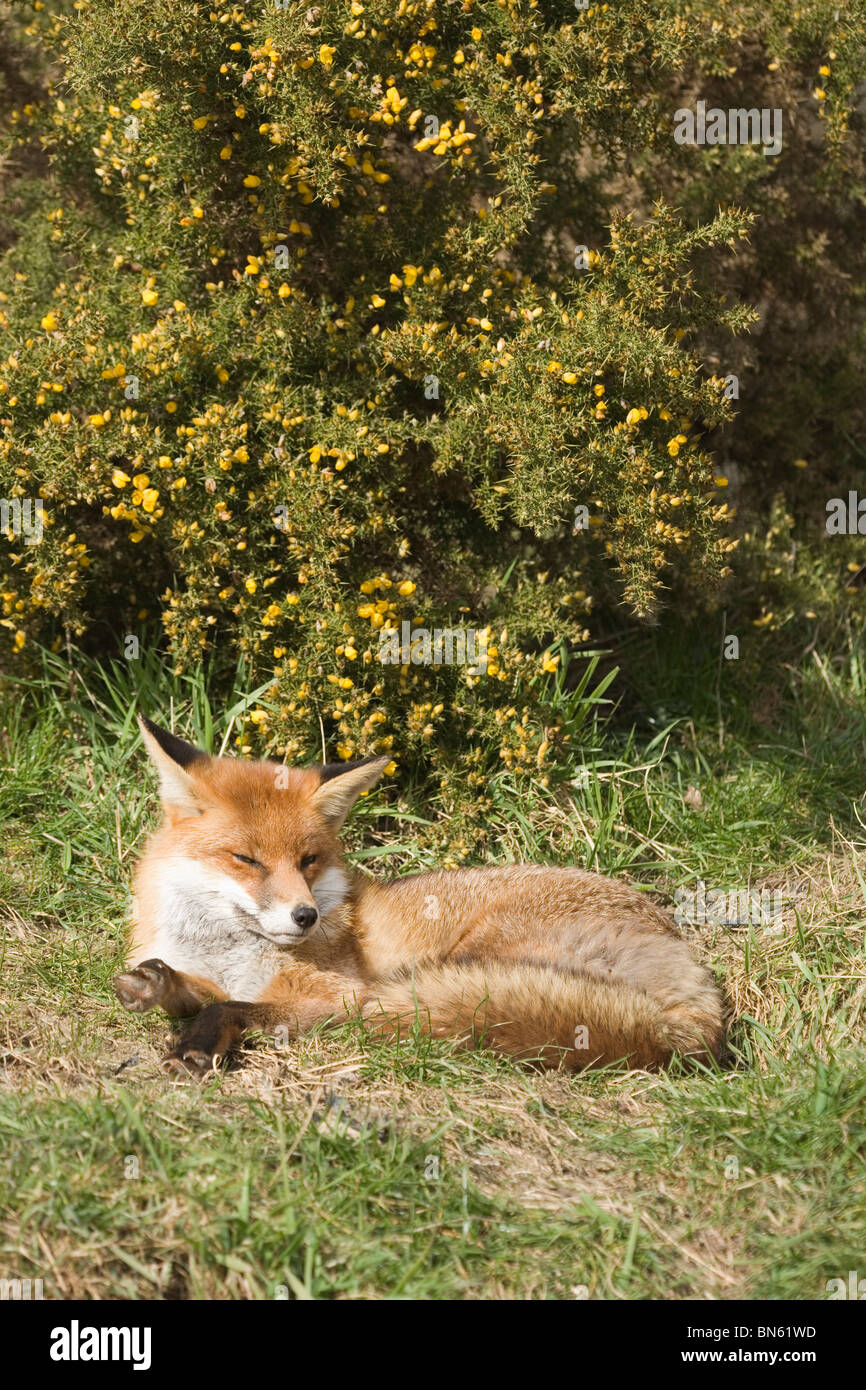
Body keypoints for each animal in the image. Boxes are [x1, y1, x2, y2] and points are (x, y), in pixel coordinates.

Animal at [113, 715, 724, 1076]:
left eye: (308, 861)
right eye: (247, 860)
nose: (305, 916)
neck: (223, 946)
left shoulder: (336, 996)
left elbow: (229, 1005)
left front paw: (196, 1043)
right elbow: (191, 988)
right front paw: (158, 986)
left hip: (476, 952)